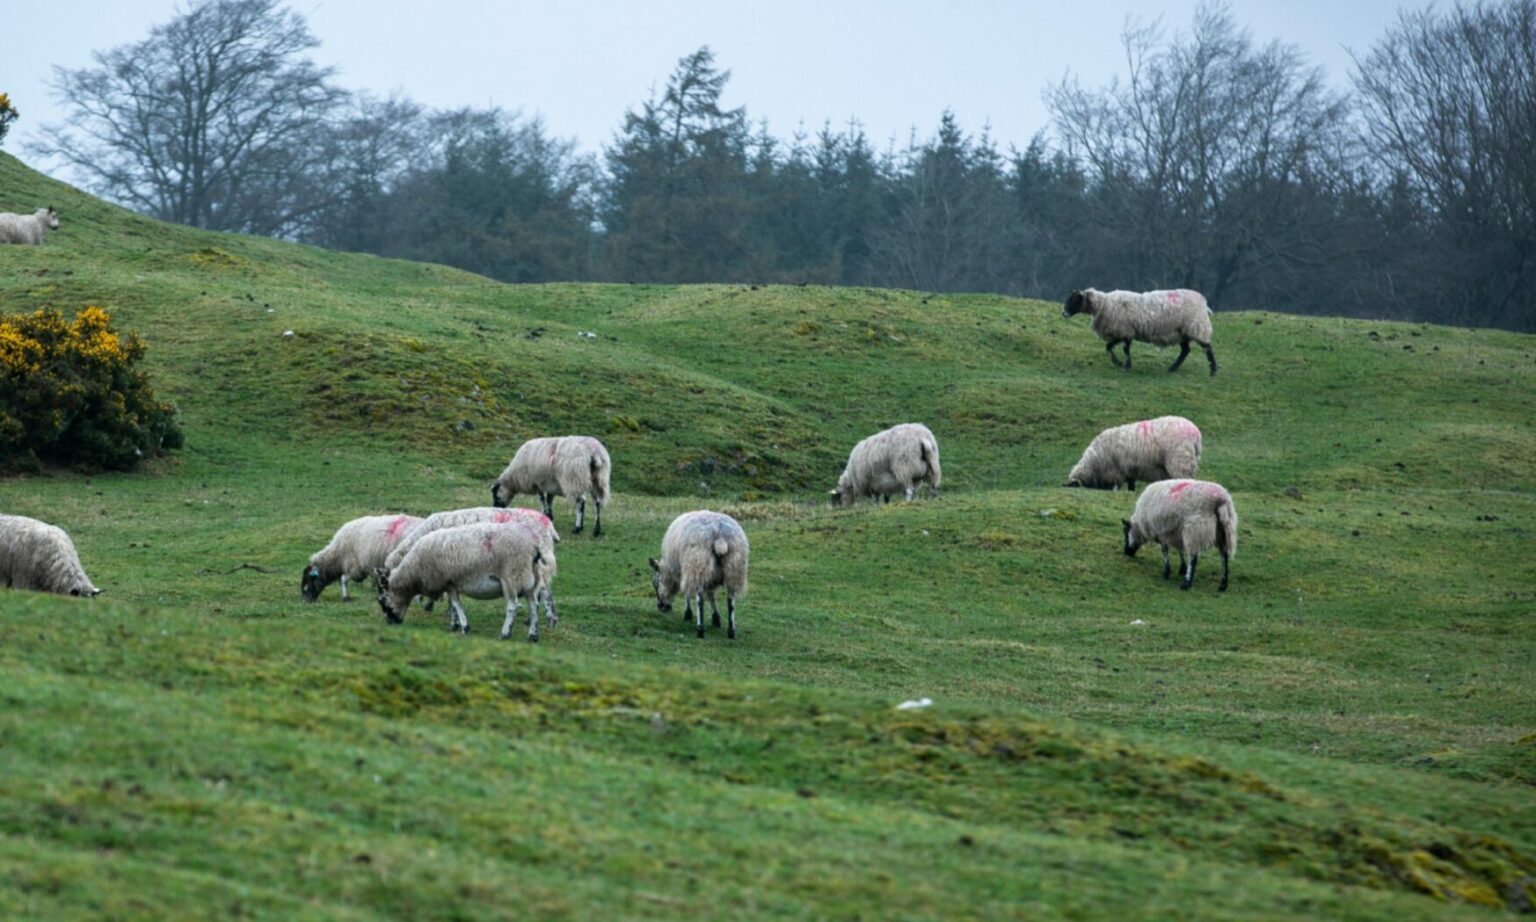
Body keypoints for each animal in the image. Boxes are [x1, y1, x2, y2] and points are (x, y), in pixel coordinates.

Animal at [383, 506, 559, 625]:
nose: (390, 617)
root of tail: (547, 524)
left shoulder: (444, 567)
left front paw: (444, 611)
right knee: (541, 589)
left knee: (543, 590)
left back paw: (546, 618)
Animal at [648, 511, 748, 639]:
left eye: (656, 583)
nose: (660, 607)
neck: (669, 569)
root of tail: (719, 534)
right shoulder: (709, 576)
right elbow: (711, 595)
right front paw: (715, 619)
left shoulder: (685, 569)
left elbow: (686, 592)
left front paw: (688, 614)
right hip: (734, 569)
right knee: (730, 602)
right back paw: (731, 631)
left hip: (698, 563)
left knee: (700, 599)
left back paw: (700, 630)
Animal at [1061, 288, 1218, 375]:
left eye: (1075, 300)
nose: (1063, 313)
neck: (1103, 304)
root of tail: (1203, 302)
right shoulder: (1124, 332)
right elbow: (1110, 346)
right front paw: (1122, 363)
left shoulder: (1124, 330)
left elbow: (1121, 349)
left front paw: (1123, 365)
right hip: (1183, 332)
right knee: (1185, 350)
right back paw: (1172, 368)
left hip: (1197, 326)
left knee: (1207, 347)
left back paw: (1213, 371)